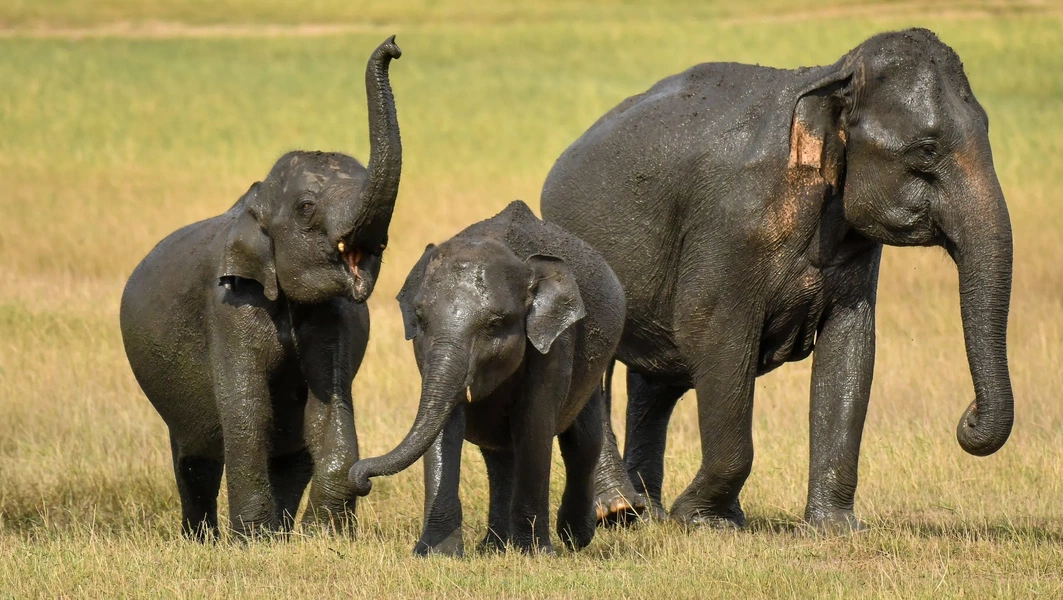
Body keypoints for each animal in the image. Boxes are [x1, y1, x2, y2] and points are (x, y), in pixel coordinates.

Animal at [119, 36, 403, 539]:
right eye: (307, 207)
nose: (393, 45)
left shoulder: (332, 318)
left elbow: (327, 409)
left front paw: (323, 537)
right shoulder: (229, 305)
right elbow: (247, 410)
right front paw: (251, 542)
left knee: (289, 460)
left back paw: (281, 532)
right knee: (193, 458)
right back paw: (205, 539)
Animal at [347, 200, 626, 555]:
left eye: (496, 324)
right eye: (420, 319)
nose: (361, 481)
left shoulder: (554, 343)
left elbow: (534, 425)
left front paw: (535, 554)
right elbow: (444, 426)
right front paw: (436, 554)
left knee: (582, 441)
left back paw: (574, 538)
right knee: (500, 457)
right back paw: (494, 547)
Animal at [540, 28, 1014, 531]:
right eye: (926, 150)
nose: (967, 418)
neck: (833, 76)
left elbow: (851, 345)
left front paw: (833, 529)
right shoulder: (730, 225)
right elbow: (710, 331)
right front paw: (706, 521)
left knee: (655, 384)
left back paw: (650, 513)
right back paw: (620, 511)